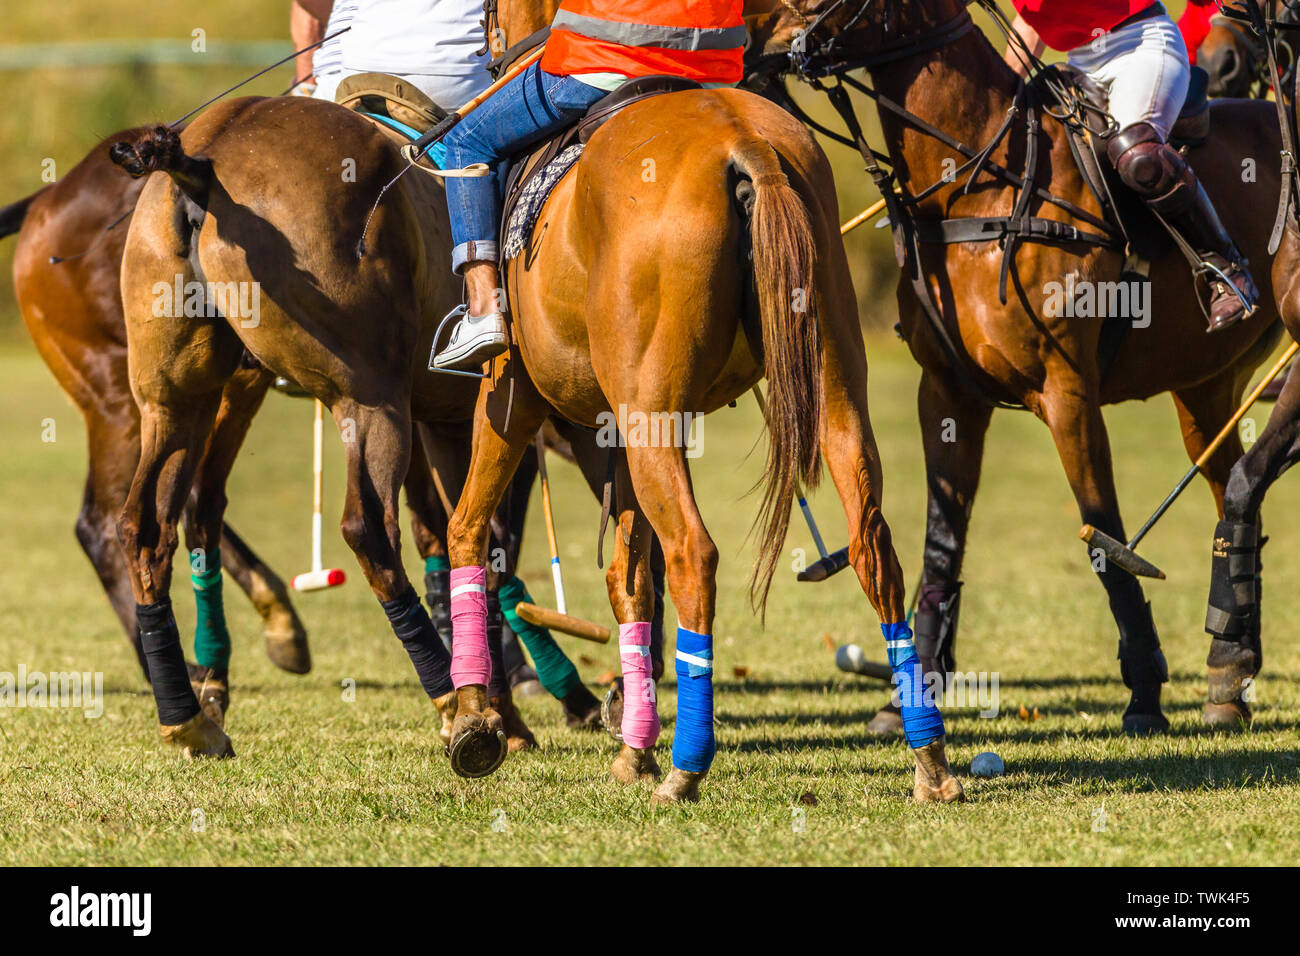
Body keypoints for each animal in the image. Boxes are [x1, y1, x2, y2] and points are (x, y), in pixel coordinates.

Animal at [438, 0, 963, 804]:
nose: (491, 52)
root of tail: (745, 147)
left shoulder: (511, 396)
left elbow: (469, 532)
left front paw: (475, 724)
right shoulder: (614, 430)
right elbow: (628, 579)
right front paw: (632, 748)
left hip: (646, 413)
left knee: (693, 553)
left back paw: (687, 765)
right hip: (829, 382)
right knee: (874, 544)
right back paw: (929, 759)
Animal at [748, 0, 1287, 731]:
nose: (749, 51)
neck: (974, 190)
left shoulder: (1067, 391)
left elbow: (1105, 539)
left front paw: (1145, 693)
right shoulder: (947, 393)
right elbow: (941, 544)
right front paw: (909, 694)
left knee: (1142, 153)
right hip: (1204, 388)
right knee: (1235, 487)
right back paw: (1231, 677)